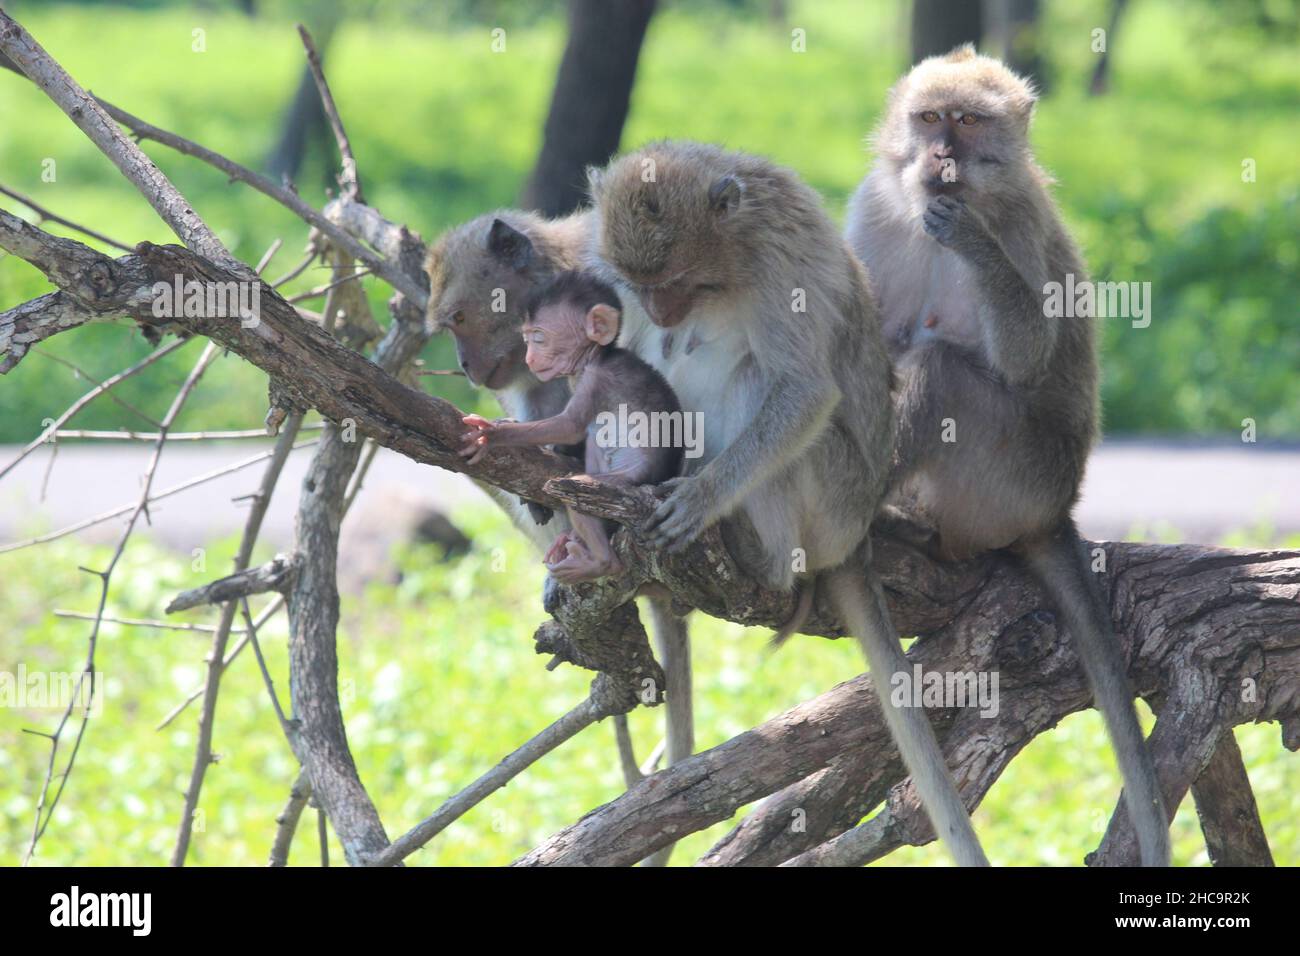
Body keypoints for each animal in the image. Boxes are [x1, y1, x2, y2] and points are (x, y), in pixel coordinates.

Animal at [458, 270, 684, 584]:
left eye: (539, 339)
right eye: (526, 340)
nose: (529, 359)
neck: (597, 356)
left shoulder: (595, 380)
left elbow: (570, 426)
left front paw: (493, 433)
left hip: (627, 483)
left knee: (577, 491)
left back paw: (601, 562)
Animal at [588, 139, 991, 866]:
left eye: (680, 278)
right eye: (640, 284)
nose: (661, 313)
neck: (731, 254)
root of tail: (857, 537)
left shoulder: (781, 262)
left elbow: (804, 389)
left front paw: (702, 497)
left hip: (834, 502)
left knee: (759, 378)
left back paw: (760, 557)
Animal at [844, 46, 1170, 866]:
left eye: (967, 121)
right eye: (931, 117)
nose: (940, 156)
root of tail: (1058, 507)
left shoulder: (1020, 222)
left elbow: (1025, 357)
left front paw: (971, 240)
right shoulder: (872, 207)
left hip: (1011, 482)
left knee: (939, 373)